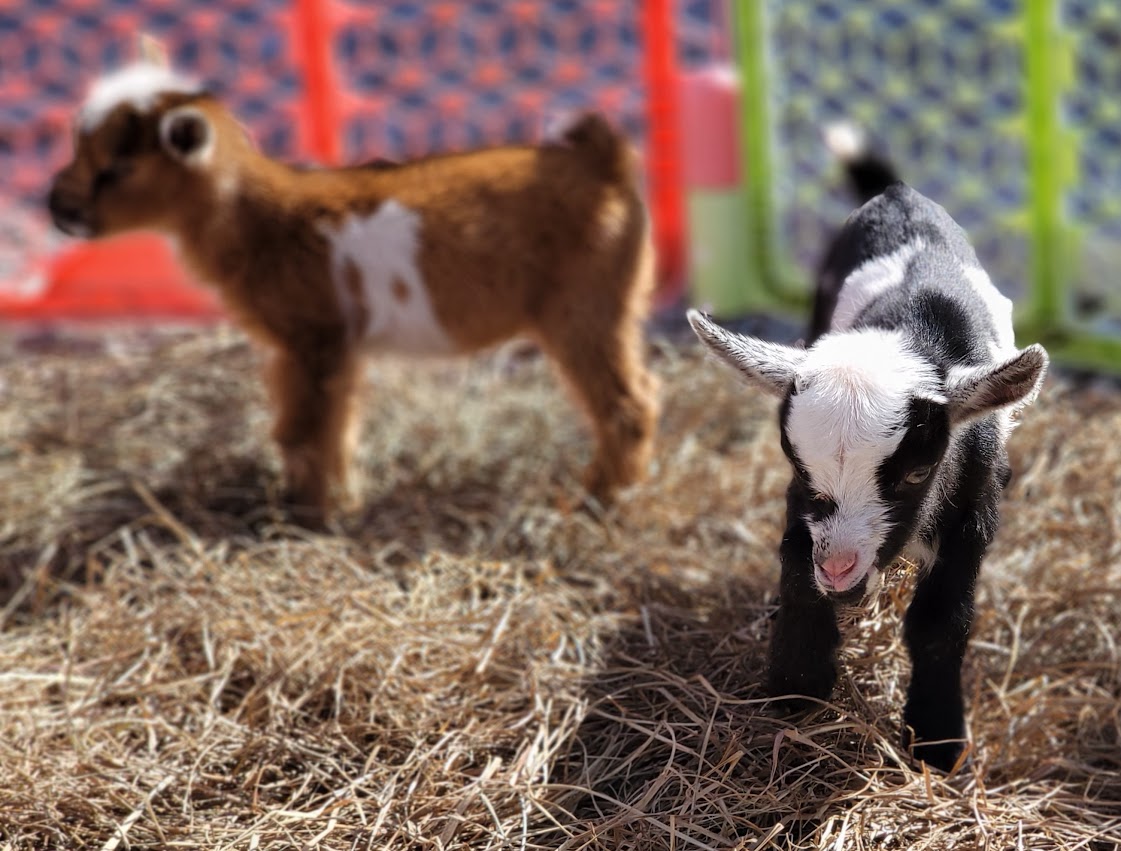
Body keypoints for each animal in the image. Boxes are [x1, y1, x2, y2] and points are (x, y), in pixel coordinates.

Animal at [47, 42, 659, 523]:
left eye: (116, 168)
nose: (56, 206)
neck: (260, 219)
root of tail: (604, 162)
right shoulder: (323, 349)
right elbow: (332, 426)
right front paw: (338, 506)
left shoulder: (316, 335)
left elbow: (303, 431)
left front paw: (308, 518)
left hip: (586, 307)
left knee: (627, 405)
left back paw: (595, 506)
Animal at [687, 125, 1048, 771]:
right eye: (795, 460)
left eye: (917, 472)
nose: (838, 567)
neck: (912, 326)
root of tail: (898, 190)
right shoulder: (801, 506)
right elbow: (796, 568)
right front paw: (797, 688)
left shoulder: (973, 504)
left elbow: (940, 620)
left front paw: (938, 740)